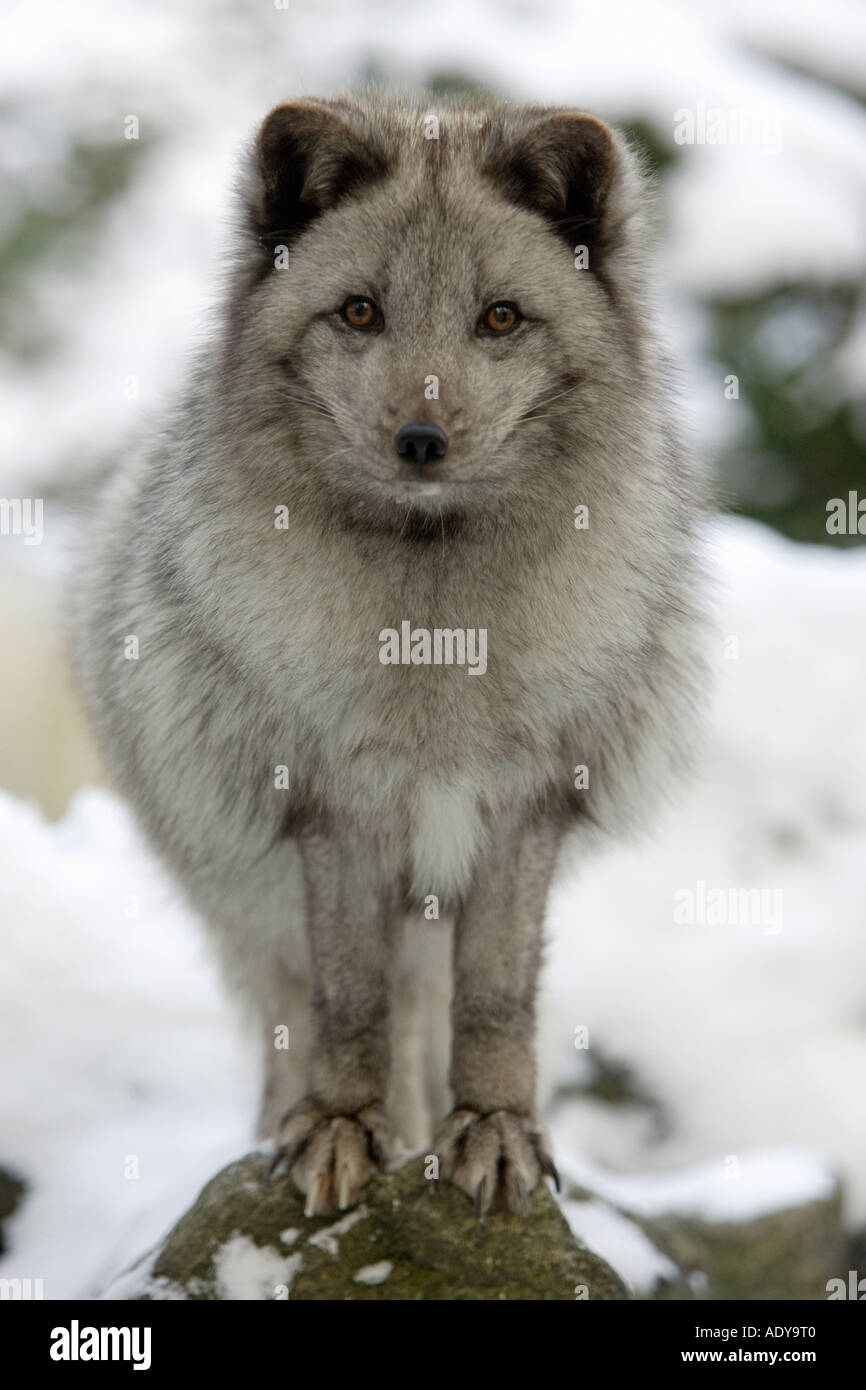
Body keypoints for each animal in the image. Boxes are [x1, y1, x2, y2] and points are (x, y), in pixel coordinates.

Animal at [74, 92, 705, 1219]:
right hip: (251, 901)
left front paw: (494, 1130)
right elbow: (348, 1002)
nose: (420, 441)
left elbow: (495, 1000)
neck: (434, 639)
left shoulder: (525, 808)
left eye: (499, 318)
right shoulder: (333, 812)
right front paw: (338, 1130)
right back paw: (293, 1125)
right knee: (306, 1013)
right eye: (360, 312)